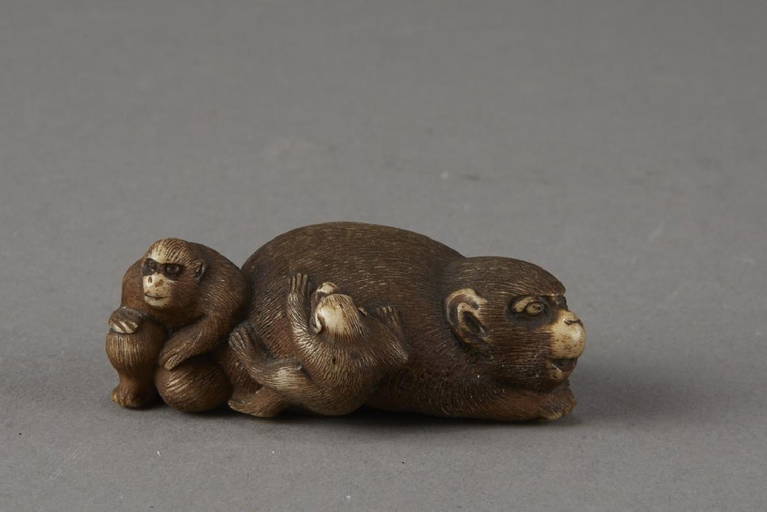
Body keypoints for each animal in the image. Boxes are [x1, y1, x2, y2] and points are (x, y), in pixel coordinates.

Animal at [106, 238, 249, 412]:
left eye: (171, 269)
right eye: (151, 266)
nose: (154, 280)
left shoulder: (225, 286)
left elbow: (222, 319)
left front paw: (182, 345)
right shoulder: (132, 281)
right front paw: (122, 314)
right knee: (132, 332)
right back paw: (134, 393)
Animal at [227, 273, 408, 417]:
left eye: (320, 298)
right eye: (342, 294)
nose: (326, 285)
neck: (350, 339)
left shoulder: (315, 349)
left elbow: (299, 332)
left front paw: (297, 292)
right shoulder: (380, 337)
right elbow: (402, 356)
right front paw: (390, 317)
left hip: (290, 377)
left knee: (265, 373)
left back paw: (244, 344)